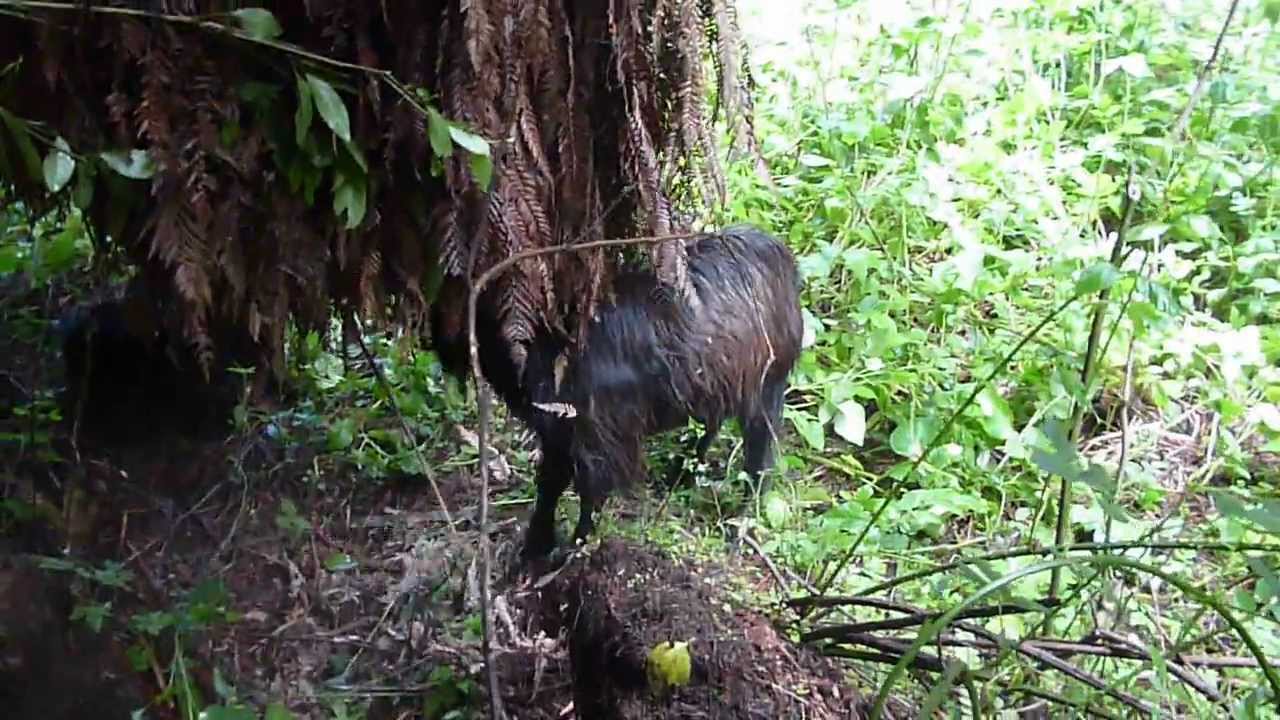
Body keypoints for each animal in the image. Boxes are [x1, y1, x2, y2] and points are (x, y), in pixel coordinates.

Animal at [431, 225, 804, 560]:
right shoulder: (561, 429)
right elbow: (550, 484)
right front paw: (535, 546)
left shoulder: (600, 432)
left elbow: (590, 492)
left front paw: (574, 549)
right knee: (711, 425)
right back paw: (679, 475)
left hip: (767, 383)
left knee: (760, 453)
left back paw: (740, 522)